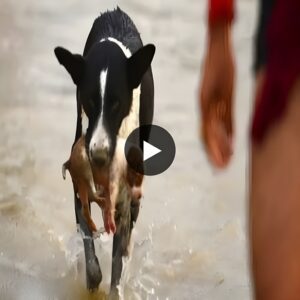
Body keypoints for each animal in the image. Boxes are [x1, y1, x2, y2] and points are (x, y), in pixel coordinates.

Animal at [54, 6, 155, 296]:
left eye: (116, 104)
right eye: (87, 101)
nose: (97, 155)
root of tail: (115, 12)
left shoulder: (125, 201)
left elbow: (118, 263)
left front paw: (114, 289)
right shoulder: (80, 187)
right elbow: (89, 247)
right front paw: (92, 281)